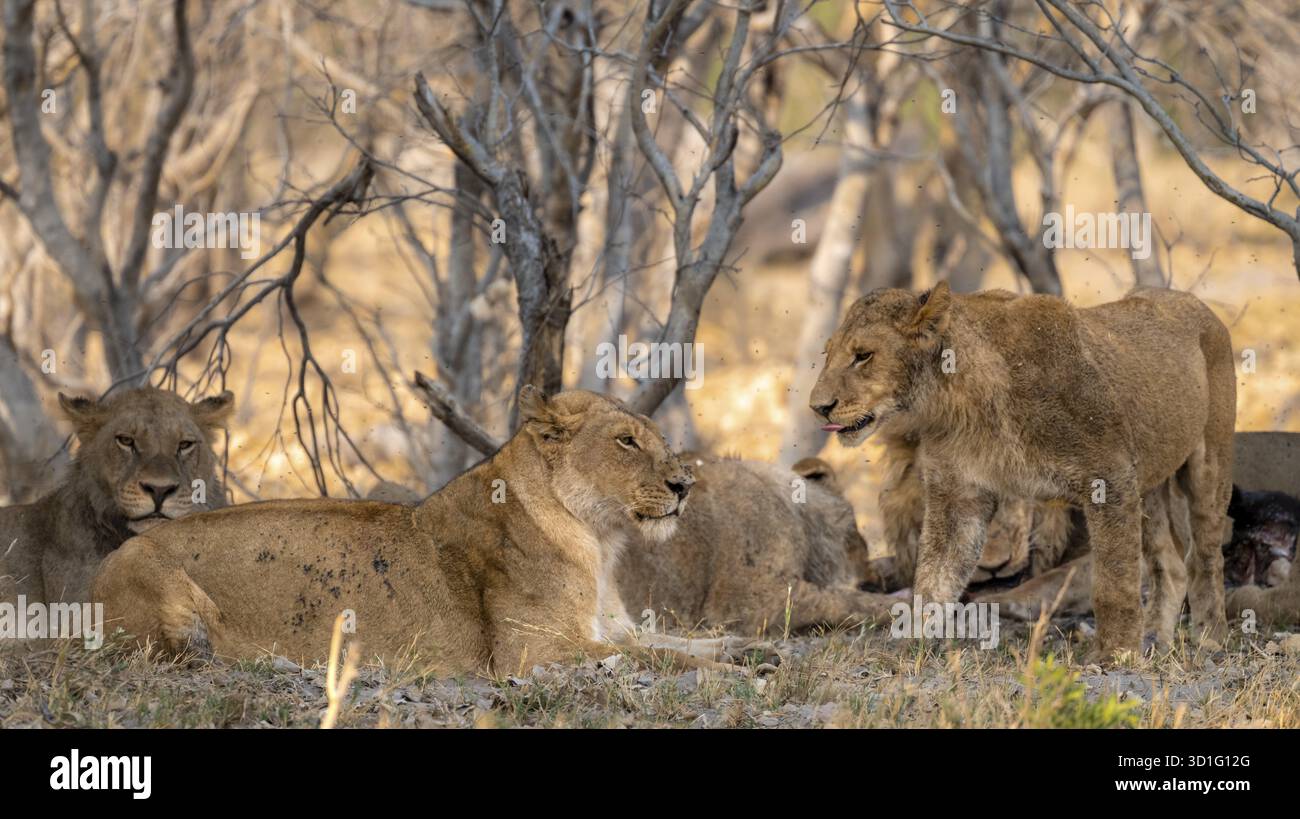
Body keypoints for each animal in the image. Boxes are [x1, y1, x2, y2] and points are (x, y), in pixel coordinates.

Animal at [92, 386, 763, 674]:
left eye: (656, 438)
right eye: (626, 442)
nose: (685, 484)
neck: (599, 539)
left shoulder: (610, 628)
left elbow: (677, 641)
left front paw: (753, 651)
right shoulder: (534, 652)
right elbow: (657, 657)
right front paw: (735, 672)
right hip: (162, 586)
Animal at [810, 282, 1235, 660]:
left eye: (863, 355)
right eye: (828, 354)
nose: (818, 407)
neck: (961, 397)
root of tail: (1193, 301)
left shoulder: (1109, 479)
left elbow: (1114, 581)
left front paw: (1116, 655)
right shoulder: (958, 495)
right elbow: (934, 580)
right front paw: (910, 646)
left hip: (1207, 464)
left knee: (1206, 557)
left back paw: (1210, 638)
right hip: (1146, 483)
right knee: (1171, 566)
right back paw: (1155, 640)